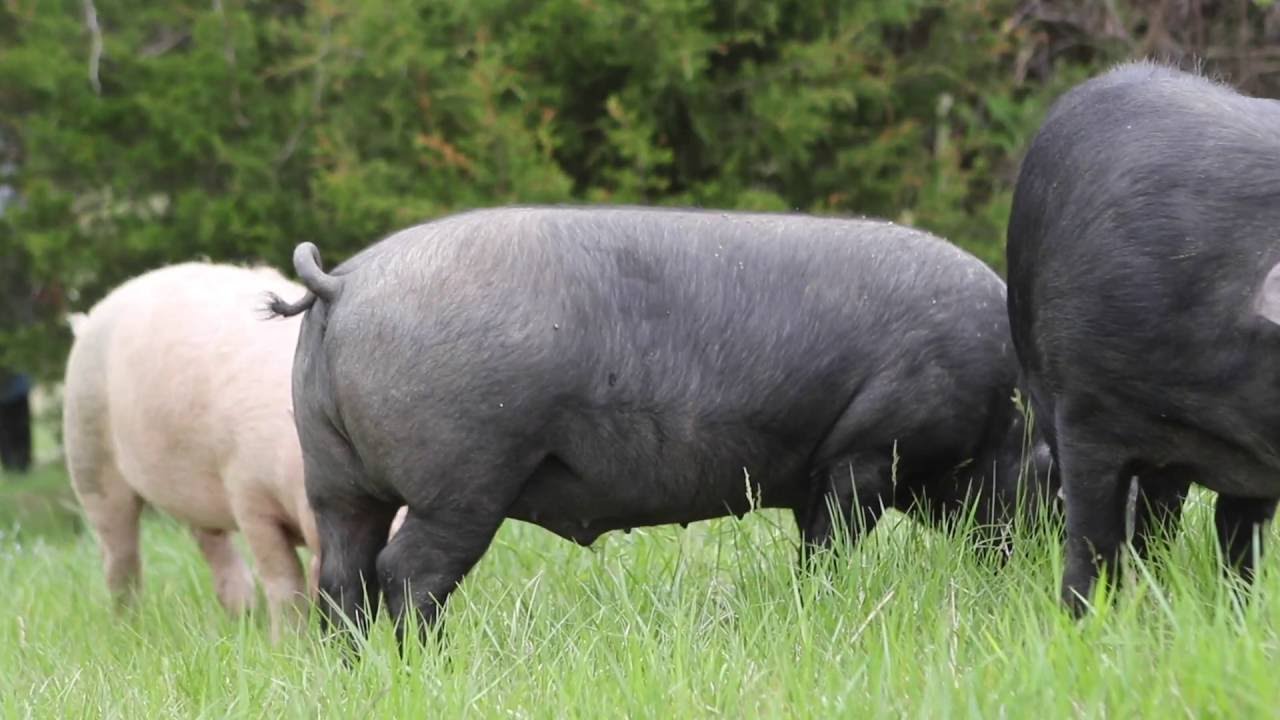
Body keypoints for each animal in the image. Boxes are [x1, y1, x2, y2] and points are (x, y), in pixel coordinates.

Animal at [63, 263, 320, 639]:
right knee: (119, 553)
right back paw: (128, 627)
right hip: (87, 449)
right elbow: (283, 576)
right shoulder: (246, 492)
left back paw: (243, 616)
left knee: (211, 544)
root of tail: (90, 318)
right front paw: (287, 642)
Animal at [267, 205, 1056, 642]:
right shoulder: (866, 451)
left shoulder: (819, 476)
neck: (1003, 399)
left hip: (333, 476)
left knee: (341, 581)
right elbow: (834, 544)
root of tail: (345, 283)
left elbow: (813, 550)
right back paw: (437, 662)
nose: (1042, 563)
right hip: (462, 479)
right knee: (405, 576)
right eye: (1052, 470)